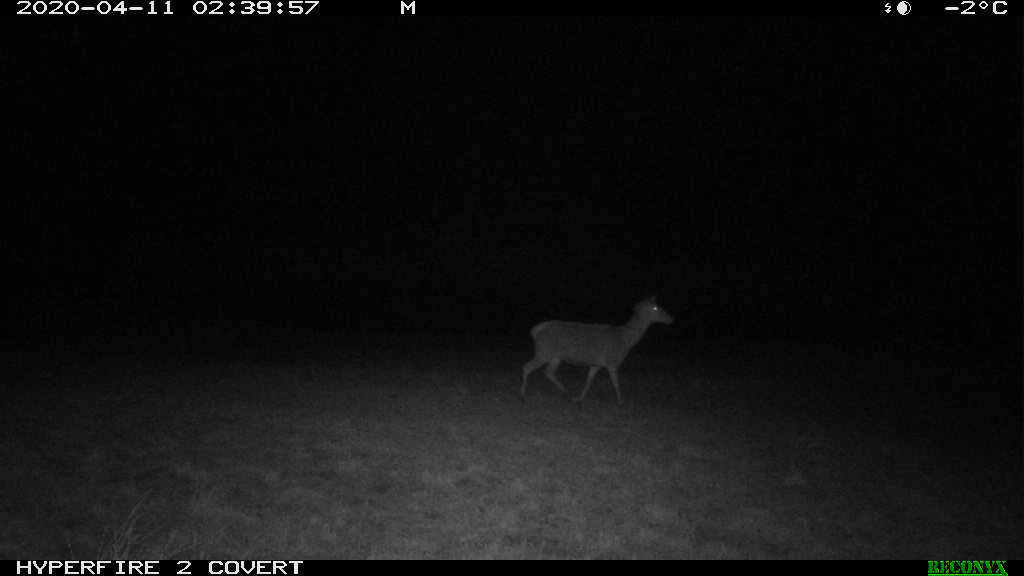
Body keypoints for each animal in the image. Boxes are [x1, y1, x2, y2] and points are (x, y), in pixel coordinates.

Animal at [521, 297, 674, 405]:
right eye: (655, 308)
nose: (671, 319)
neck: (626, 341)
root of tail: (535, 330)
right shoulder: (612, 361)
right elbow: (616, 383)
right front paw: (620, 402)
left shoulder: (597, 364)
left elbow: (589, 380)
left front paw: (579, 398)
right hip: (544, 351)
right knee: (527, 366)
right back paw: (523, 393)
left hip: (555, 356)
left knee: (548, 372)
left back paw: (566, 392)